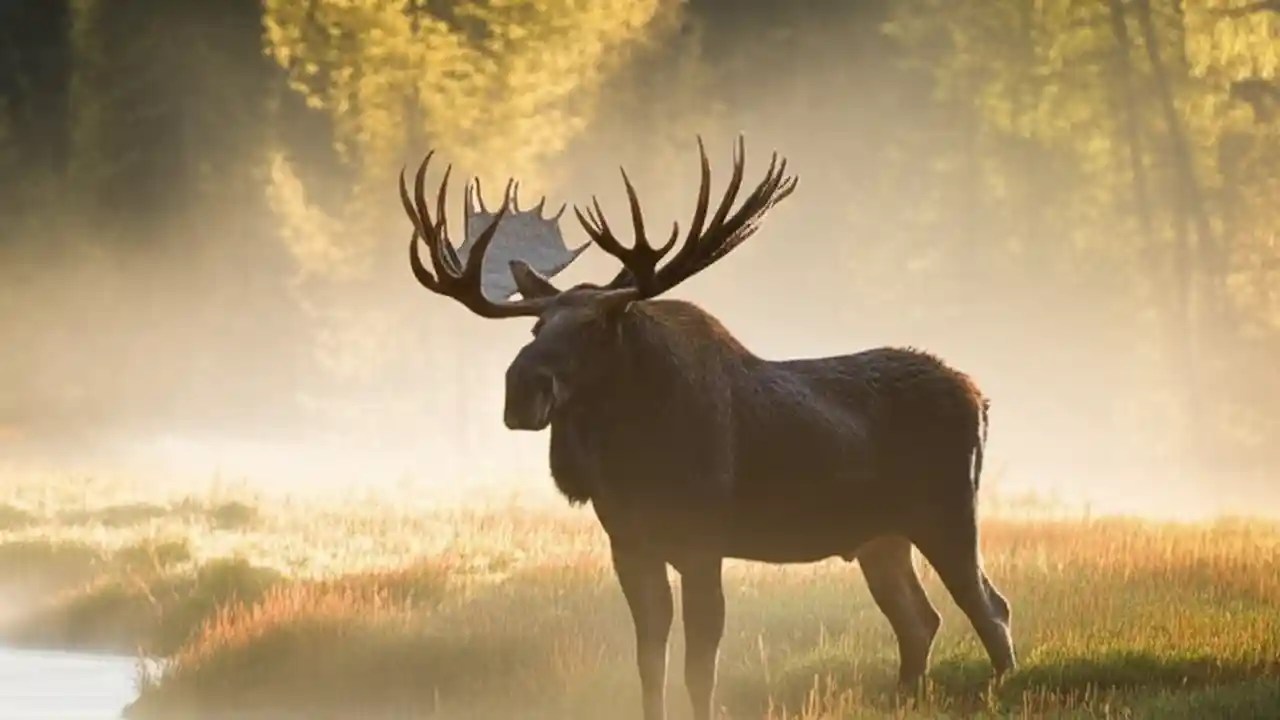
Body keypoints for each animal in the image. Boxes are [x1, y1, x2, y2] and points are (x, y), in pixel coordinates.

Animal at [398, 137, 1016, 720]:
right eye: (536, 325)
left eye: (596, 324)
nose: (522, 388)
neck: (628, 462)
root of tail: (981, 396)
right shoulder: (629, 545)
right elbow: (650, 662)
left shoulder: (703, 543)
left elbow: (700, 668)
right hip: (880, 537)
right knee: (920, 619)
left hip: (947, 513)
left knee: (990, 607)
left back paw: (1000, 690)